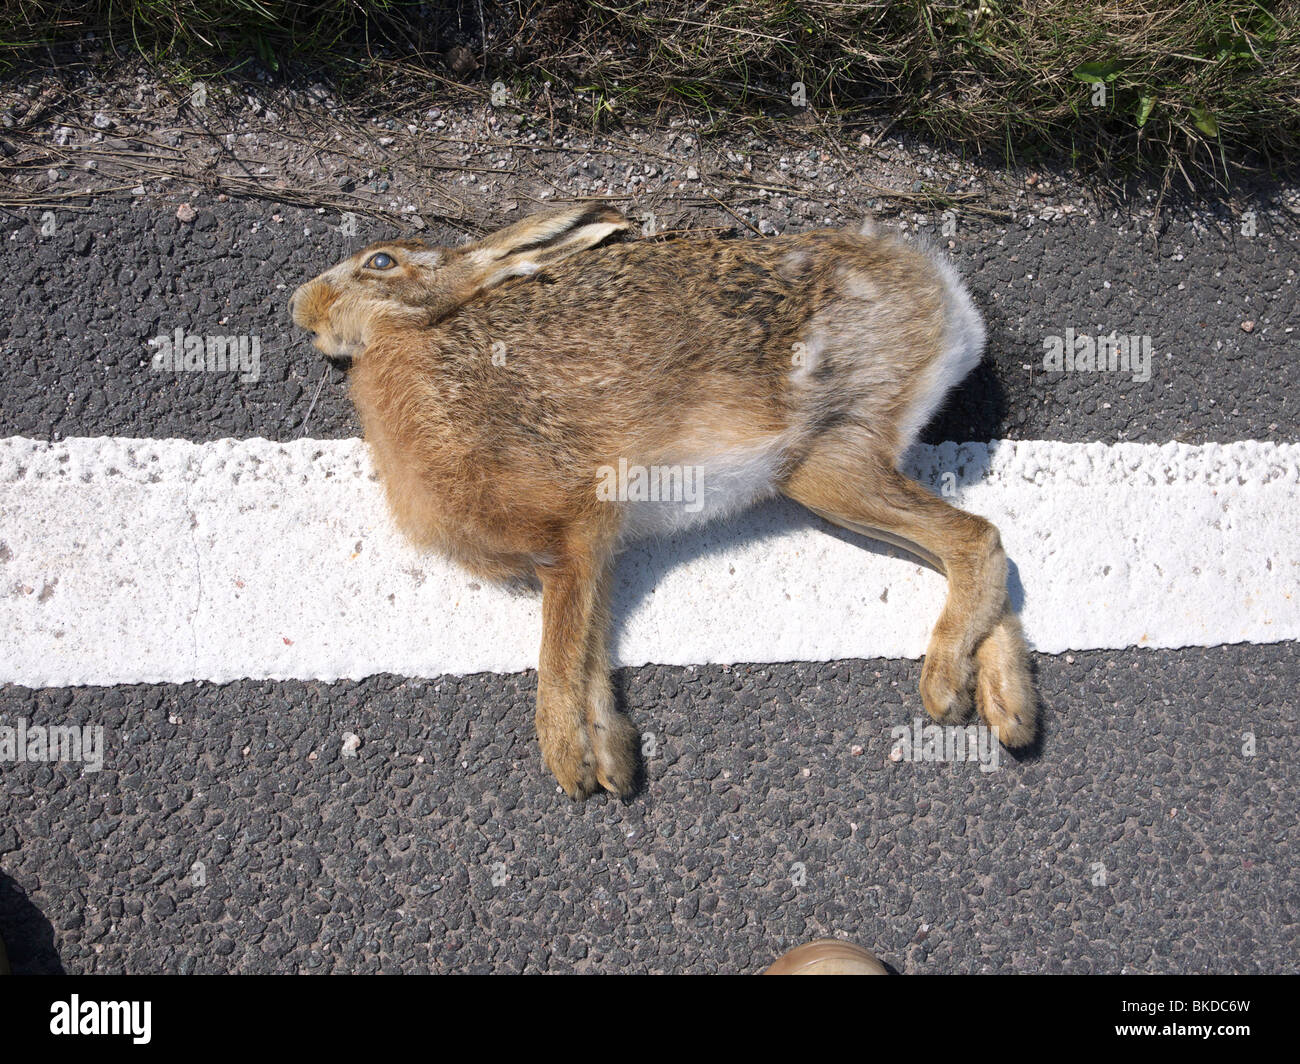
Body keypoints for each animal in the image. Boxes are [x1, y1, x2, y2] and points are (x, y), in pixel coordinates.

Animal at [289, 202, 1035, 800]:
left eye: (379, 262)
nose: (302, 306)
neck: (415, 338)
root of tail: (946, 297)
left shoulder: (573, 531)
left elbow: (560, 655)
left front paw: (570, 764)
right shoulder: (587, 554)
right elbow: (589, 652)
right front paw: (614, 764)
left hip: (828, 462)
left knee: (977, 540)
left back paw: (945, 685)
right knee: (973, 554)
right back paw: (1009, 709)